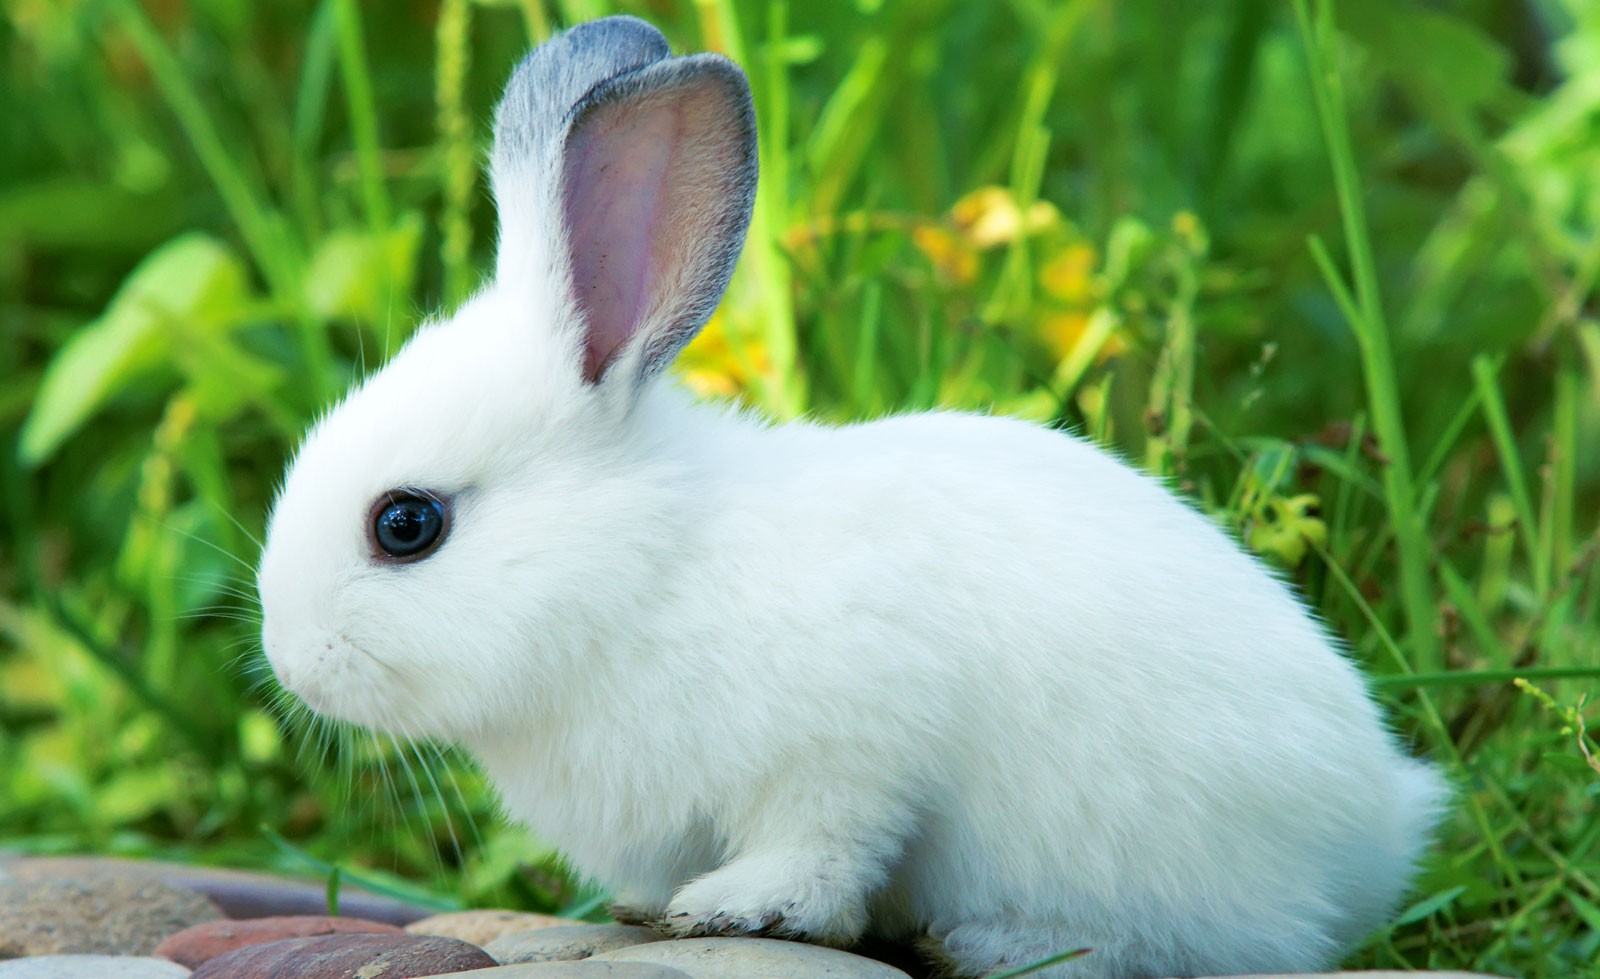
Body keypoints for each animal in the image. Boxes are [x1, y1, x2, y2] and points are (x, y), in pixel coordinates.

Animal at [256, 15, 1448, 979]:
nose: (289, 661)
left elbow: (826, 849)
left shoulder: (850, 749)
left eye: (407, 525)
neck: (643, 573)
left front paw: (733, 908)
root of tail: (1381, 824)